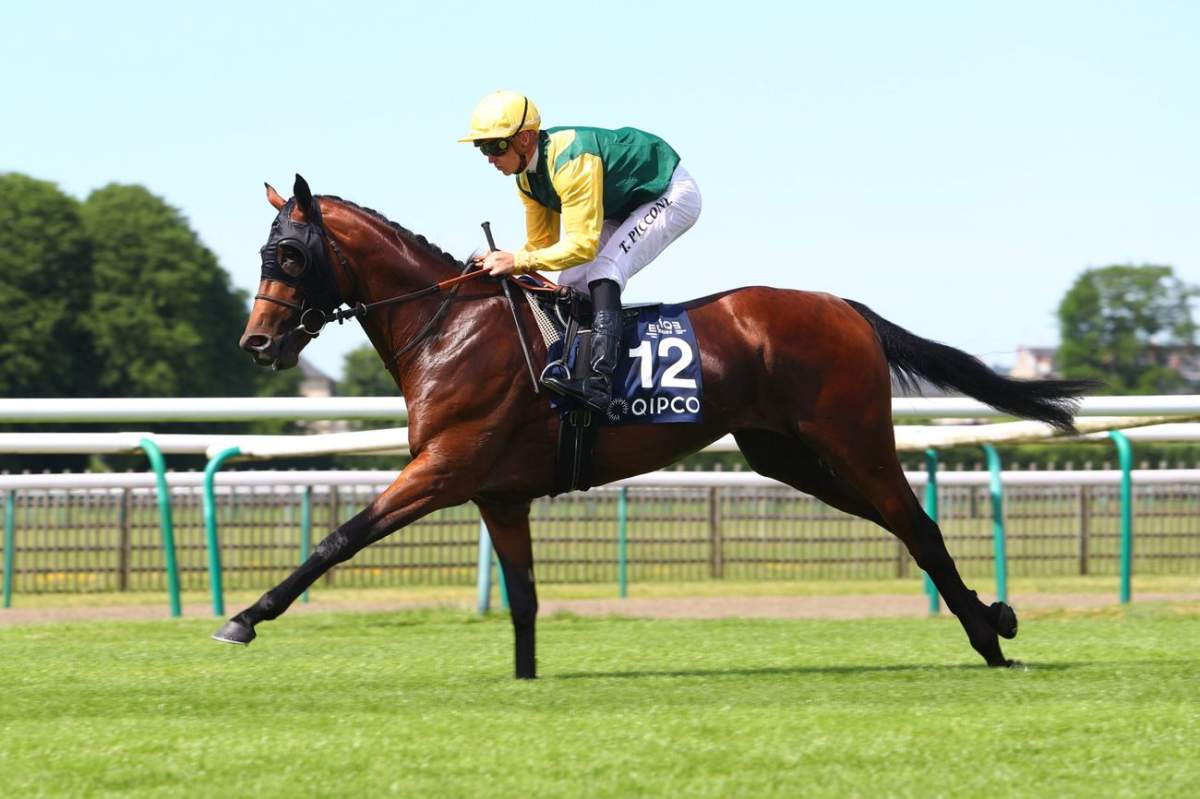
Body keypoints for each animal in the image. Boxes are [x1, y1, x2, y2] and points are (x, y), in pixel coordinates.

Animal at [217, 174, 1094, 677]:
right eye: (265, 251)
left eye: (290, 255)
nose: (256, 343)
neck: (449, 326)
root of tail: (843, 307)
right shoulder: (498, 494)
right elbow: (524, 599)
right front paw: (525, 680)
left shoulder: (444, 467)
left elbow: (339, 538)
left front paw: (244, 618)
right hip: (785, 453)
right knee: (897, 522)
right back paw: (993, 617)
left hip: (852, 436)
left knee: (917, 523)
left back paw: (989, 638)